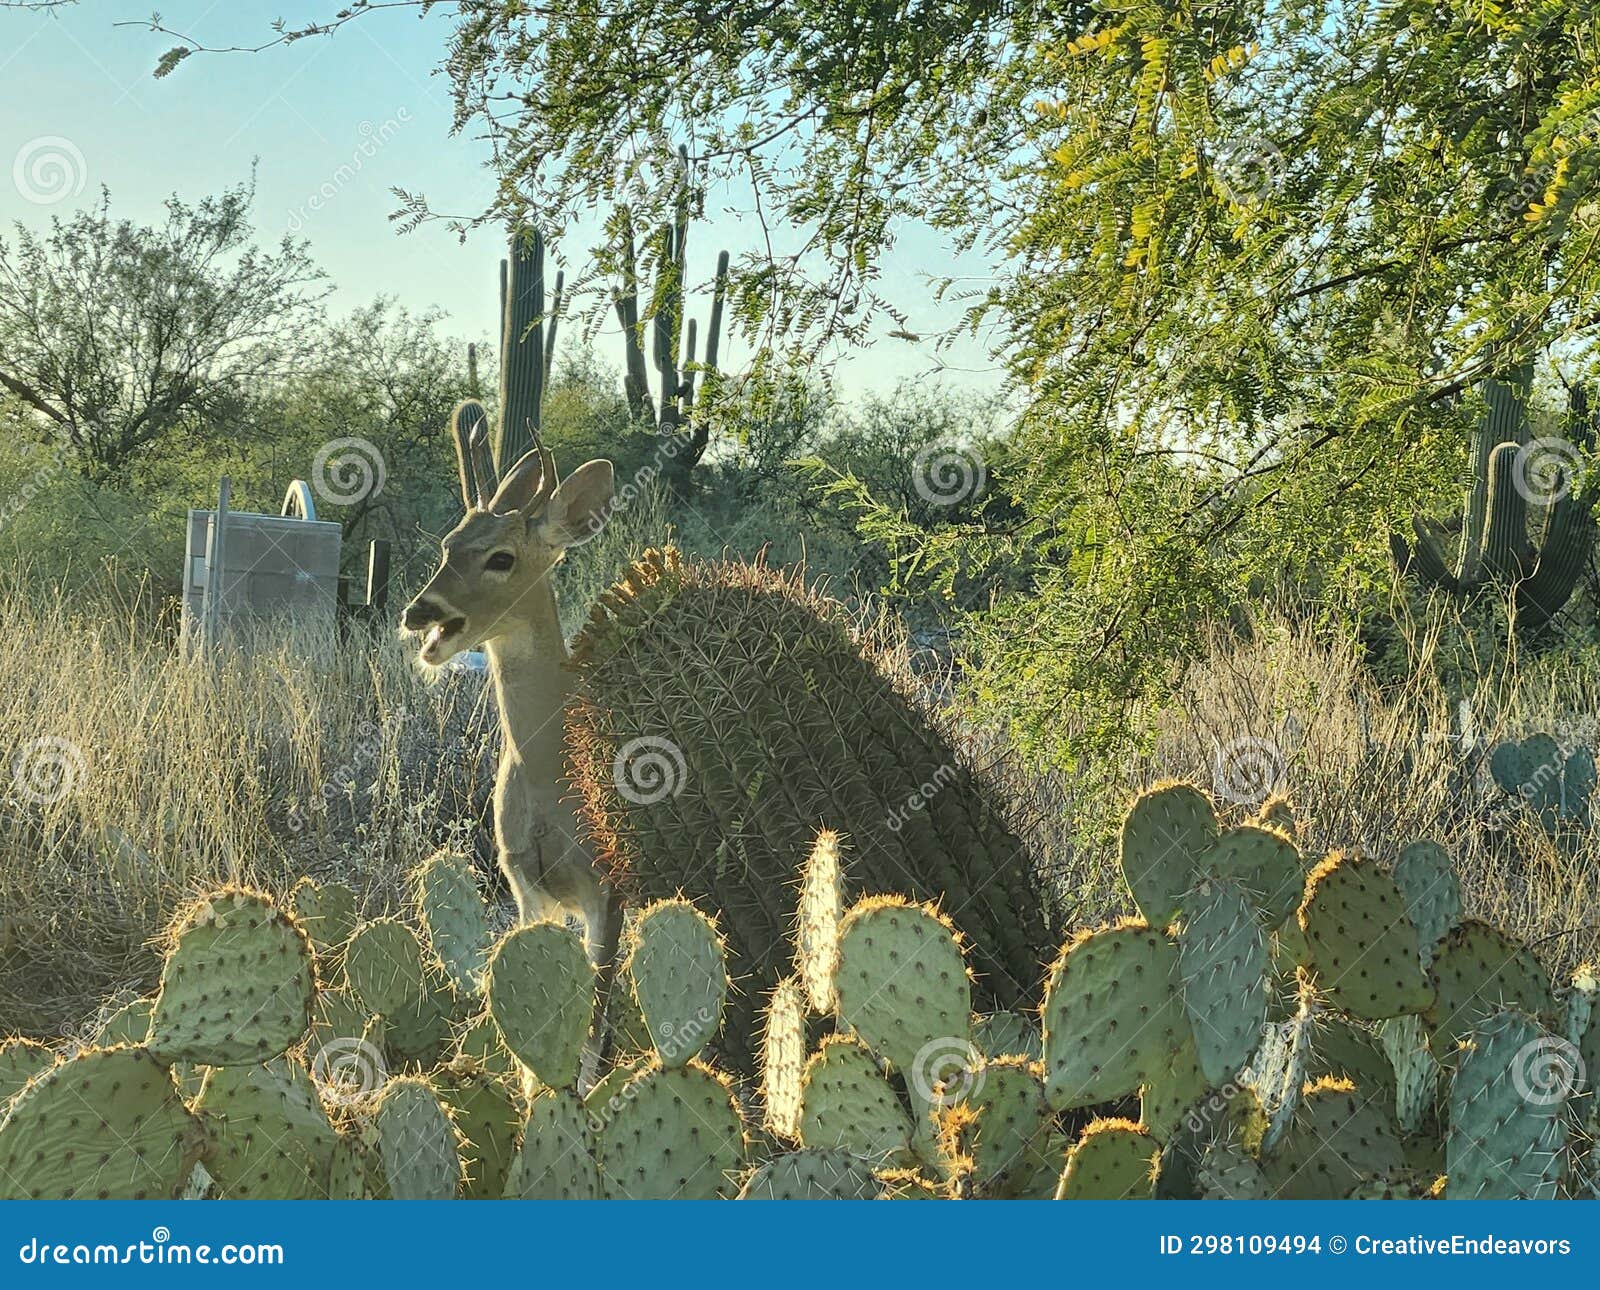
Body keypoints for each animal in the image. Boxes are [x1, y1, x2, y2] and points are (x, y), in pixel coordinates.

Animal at [400, 427, 622, 1046]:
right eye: (449, 543)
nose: (418, 611)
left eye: (502, 557)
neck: (550, 772)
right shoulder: (523, 883)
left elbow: (592, 1034)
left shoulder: (606, 892)